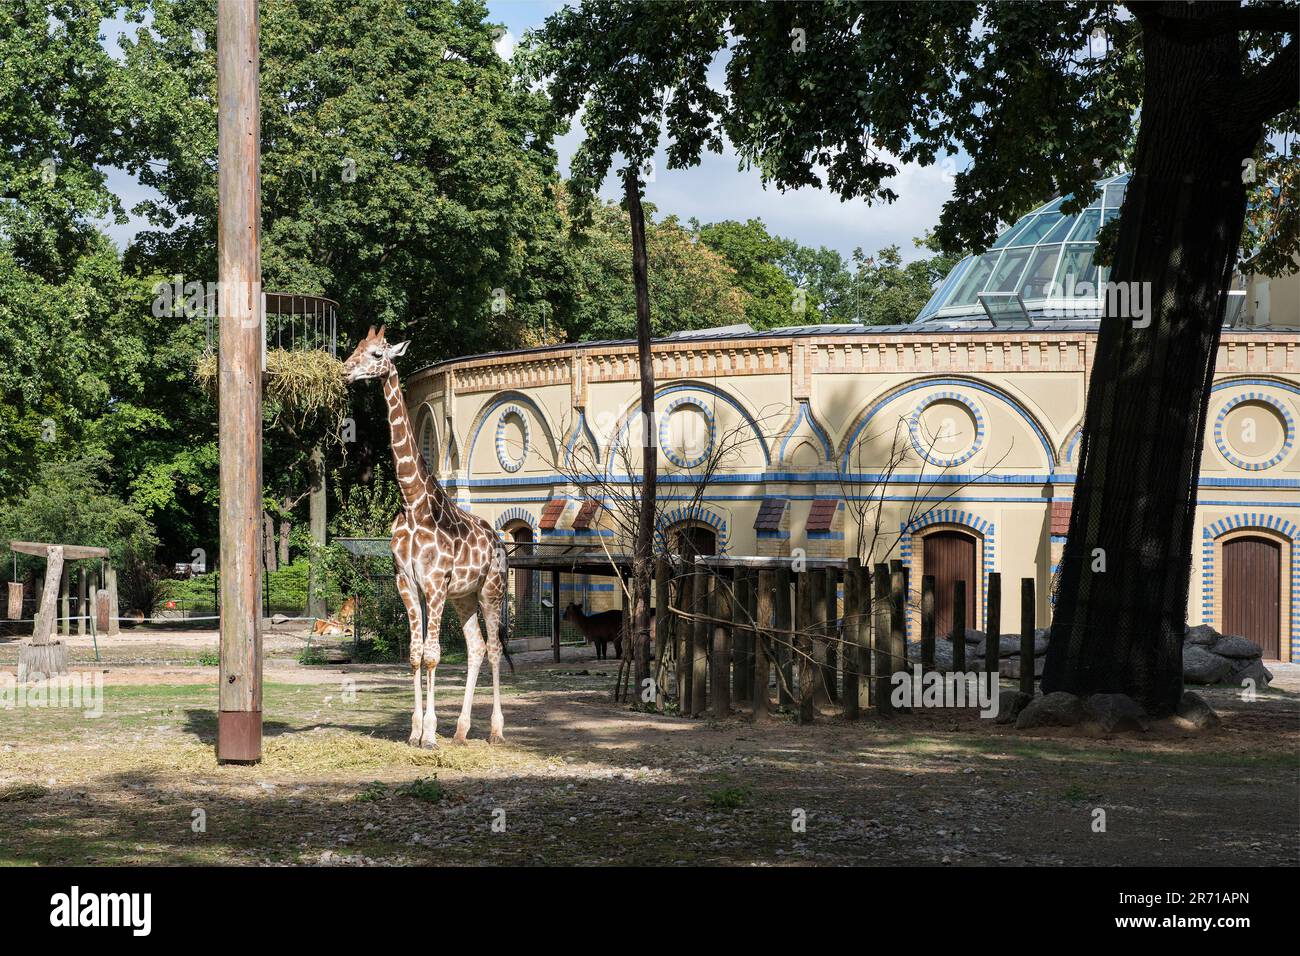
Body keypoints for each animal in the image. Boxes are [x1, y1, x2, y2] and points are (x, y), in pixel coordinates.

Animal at [342, 326, 509, 748]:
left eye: (377, 354)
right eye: (355, 348)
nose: (345, 371)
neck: (412, 499)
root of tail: (501, 541)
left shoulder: (434, 583)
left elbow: (433, 654)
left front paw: (430, 733)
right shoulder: (406, 581)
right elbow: (416, 653)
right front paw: (416, 731)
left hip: (491, 590)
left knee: (495, 648)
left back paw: (496, 730)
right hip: (463, 596)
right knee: (476, 647)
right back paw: (462, 730)